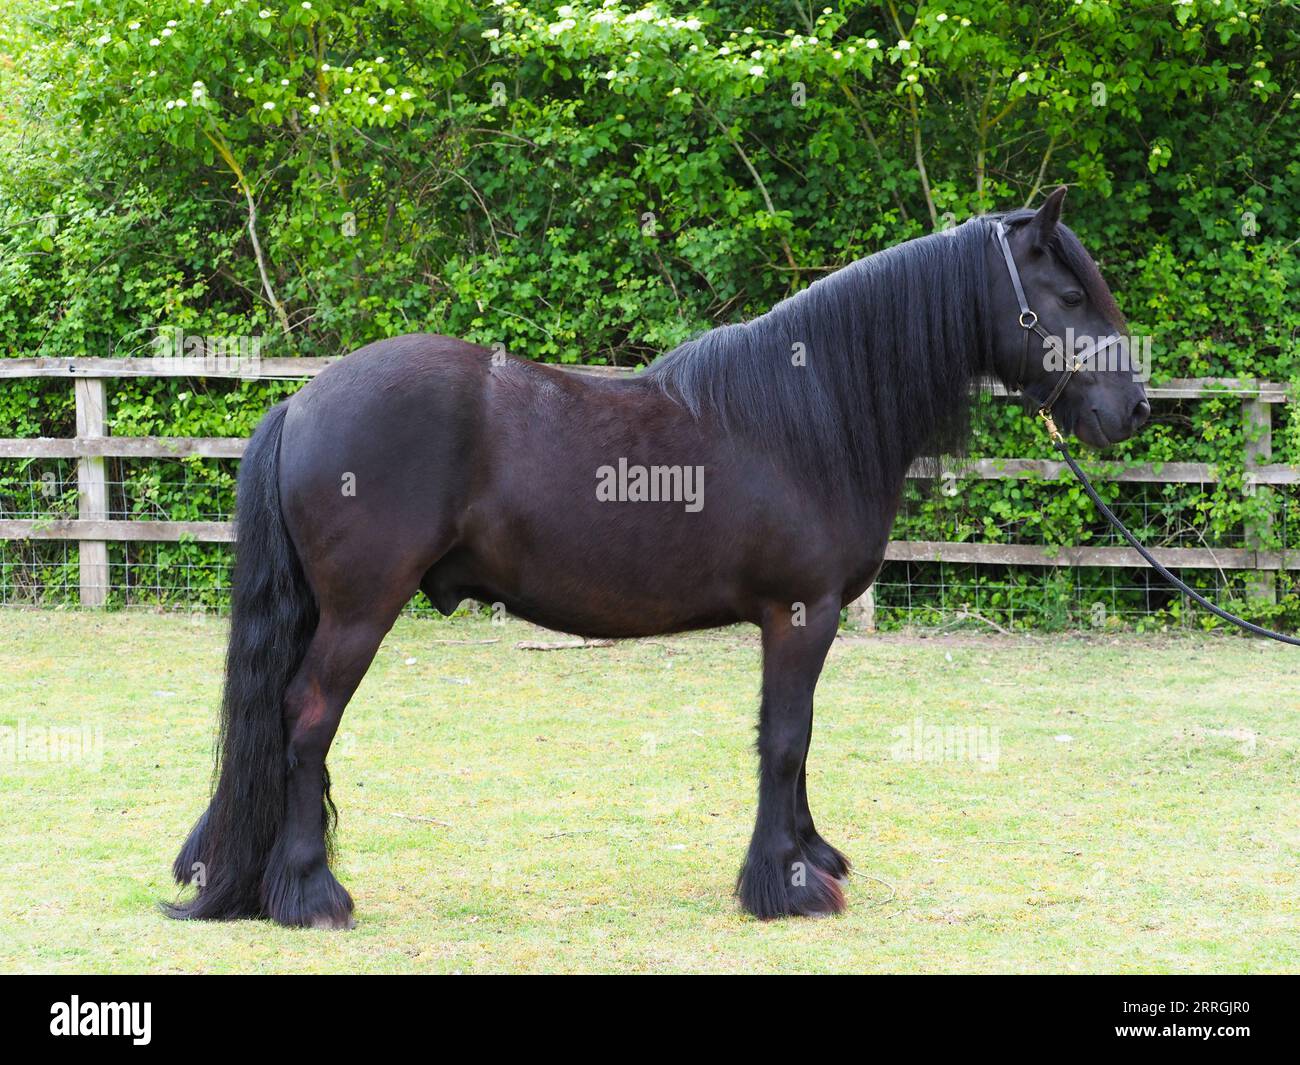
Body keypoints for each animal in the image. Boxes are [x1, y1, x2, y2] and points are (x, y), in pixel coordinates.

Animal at [167, 187, 1149, 927]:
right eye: (1068, 297)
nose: (1133, 408)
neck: (812, 414)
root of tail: (302, 400)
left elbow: (795, 739)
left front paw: (812, 854)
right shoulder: (800, 613)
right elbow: (784, 738)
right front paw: (786, 883)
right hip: (361, 611)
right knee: (306, 719)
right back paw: (311, 894)